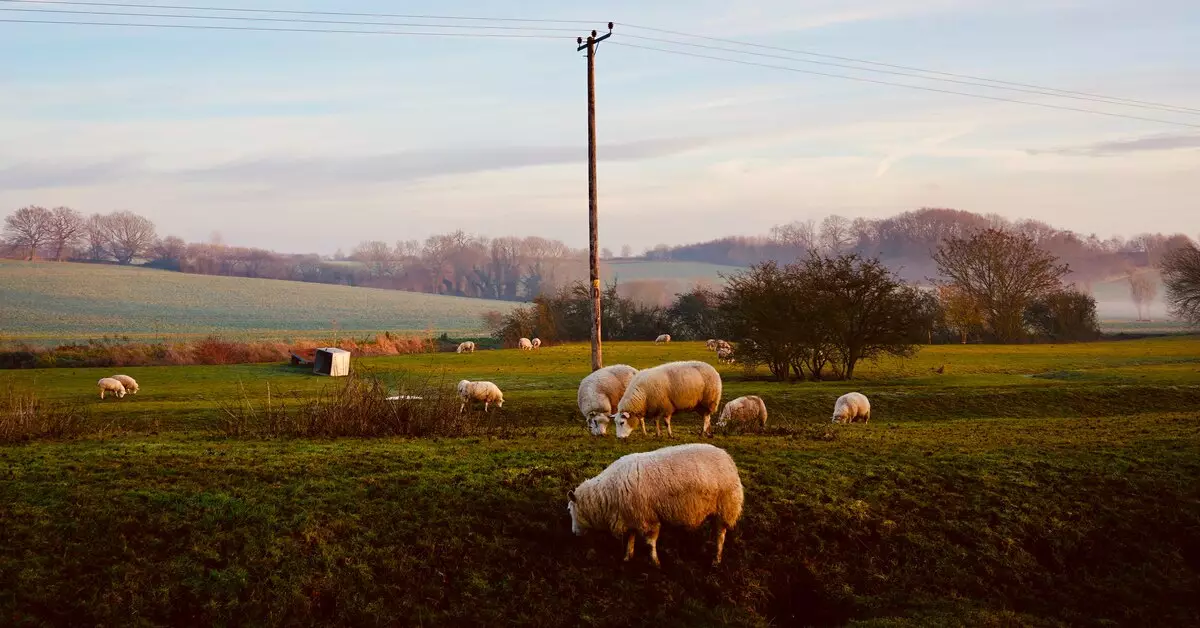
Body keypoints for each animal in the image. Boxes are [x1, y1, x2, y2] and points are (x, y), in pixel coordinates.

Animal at [568, 441, 739, 569]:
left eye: (570, 510)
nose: (574, 533)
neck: (607, 494)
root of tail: (727, 457)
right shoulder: (632, 516)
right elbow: (631, 538)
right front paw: (627, 557)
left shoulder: (648, 518)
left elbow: (650, 542)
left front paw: (655, 562)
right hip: (714, 510)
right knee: (714, 529)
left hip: (726, 508)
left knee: (720, 535)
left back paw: (716, 559)